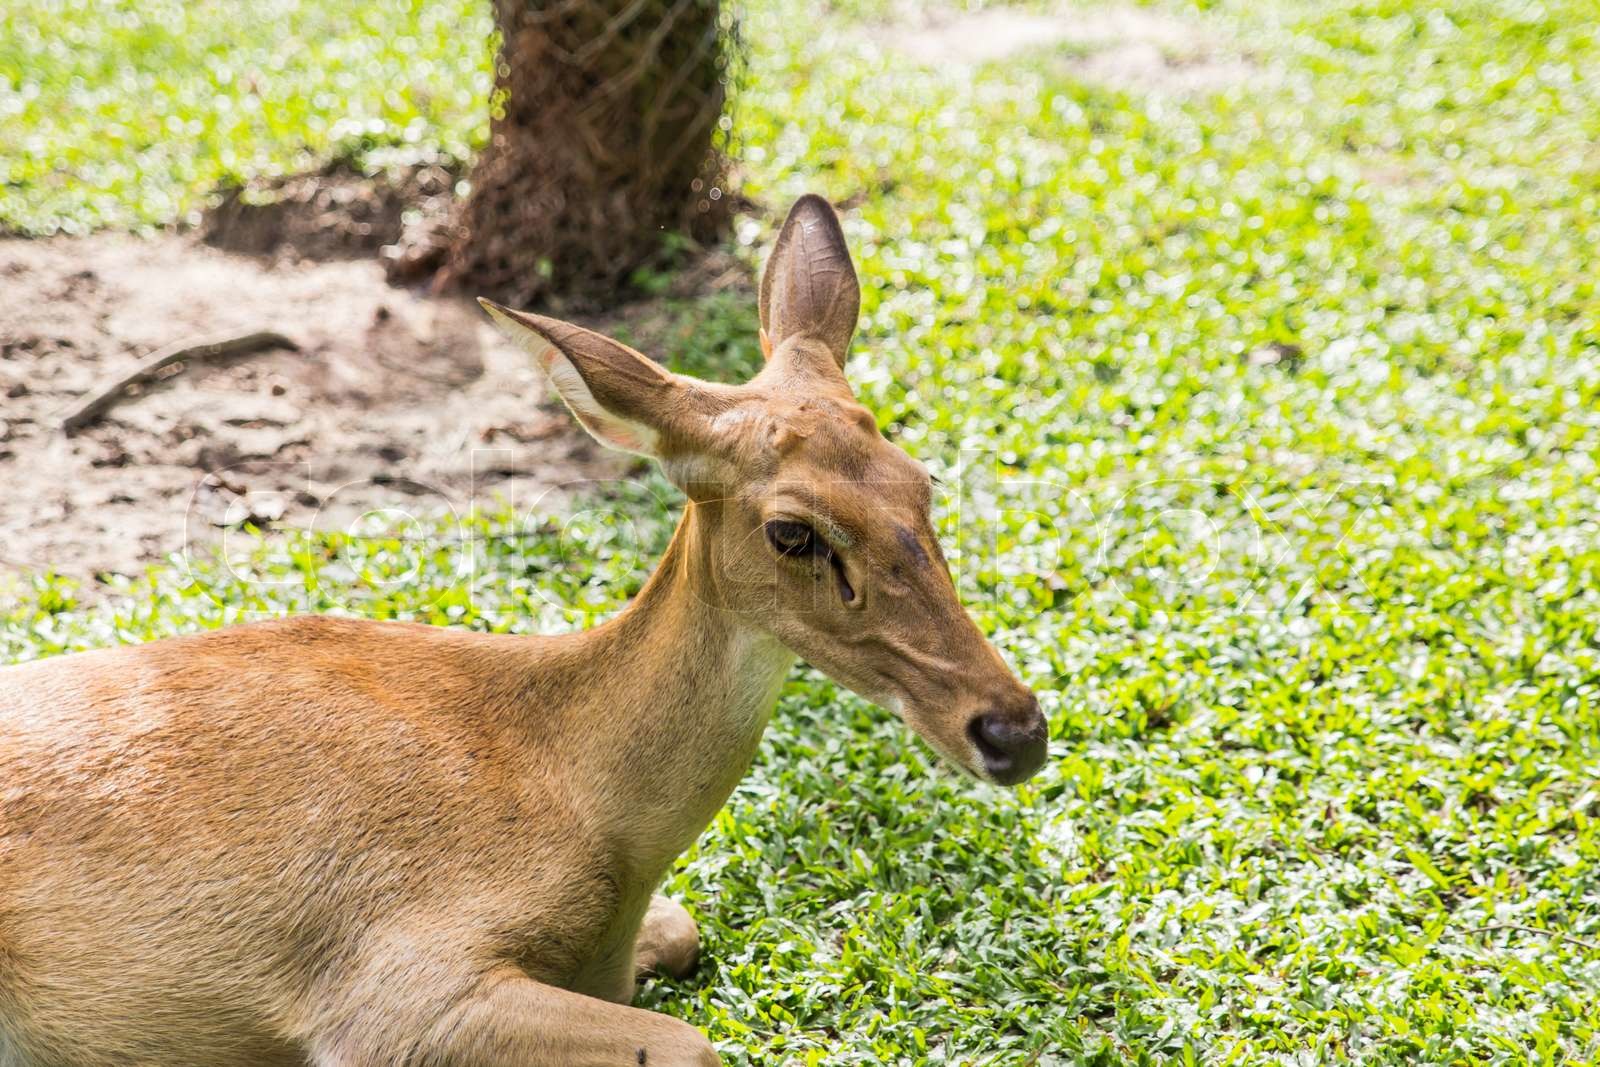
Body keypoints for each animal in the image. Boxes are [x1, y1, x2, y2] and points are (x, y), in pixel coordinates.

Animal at [0, 195, 1048, 1067]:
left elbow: (685, 932)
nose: (1014, 729)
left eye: (921, 481)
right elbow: (689, 1043)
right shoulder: (389, 984)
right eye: (793, 529)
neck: (589, 806)